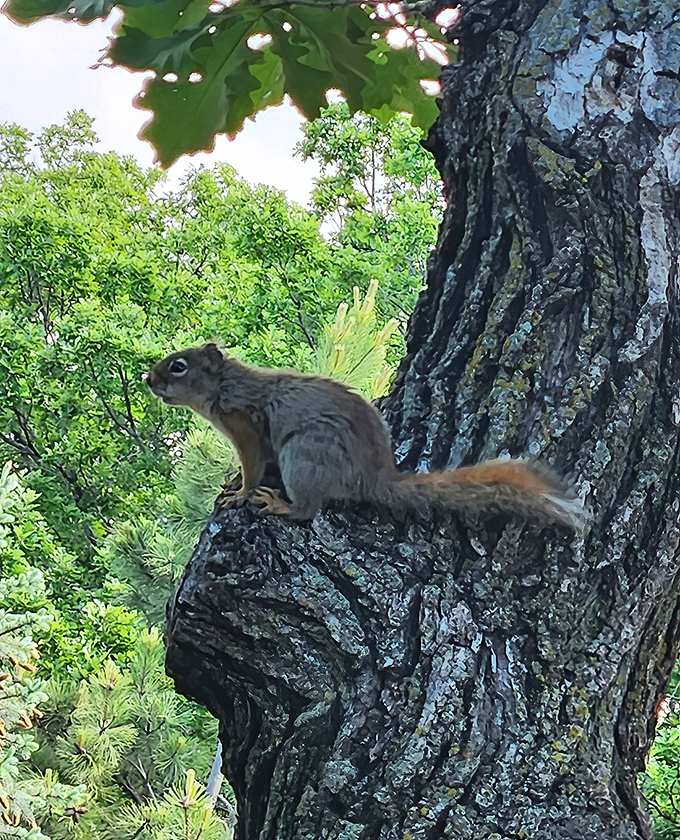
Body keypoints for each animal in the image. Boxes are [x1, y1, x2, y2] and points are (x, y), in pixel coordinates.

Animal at [147, 343, 583, 528]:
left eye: (179, 366)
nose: (148, 379)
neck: (223, 387)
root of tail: (371, 477)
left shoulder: (245, 424)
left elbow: (254, 466)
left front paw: (240, 494)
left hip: (302, 455)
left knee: (308, 510)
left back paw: (281, 505)